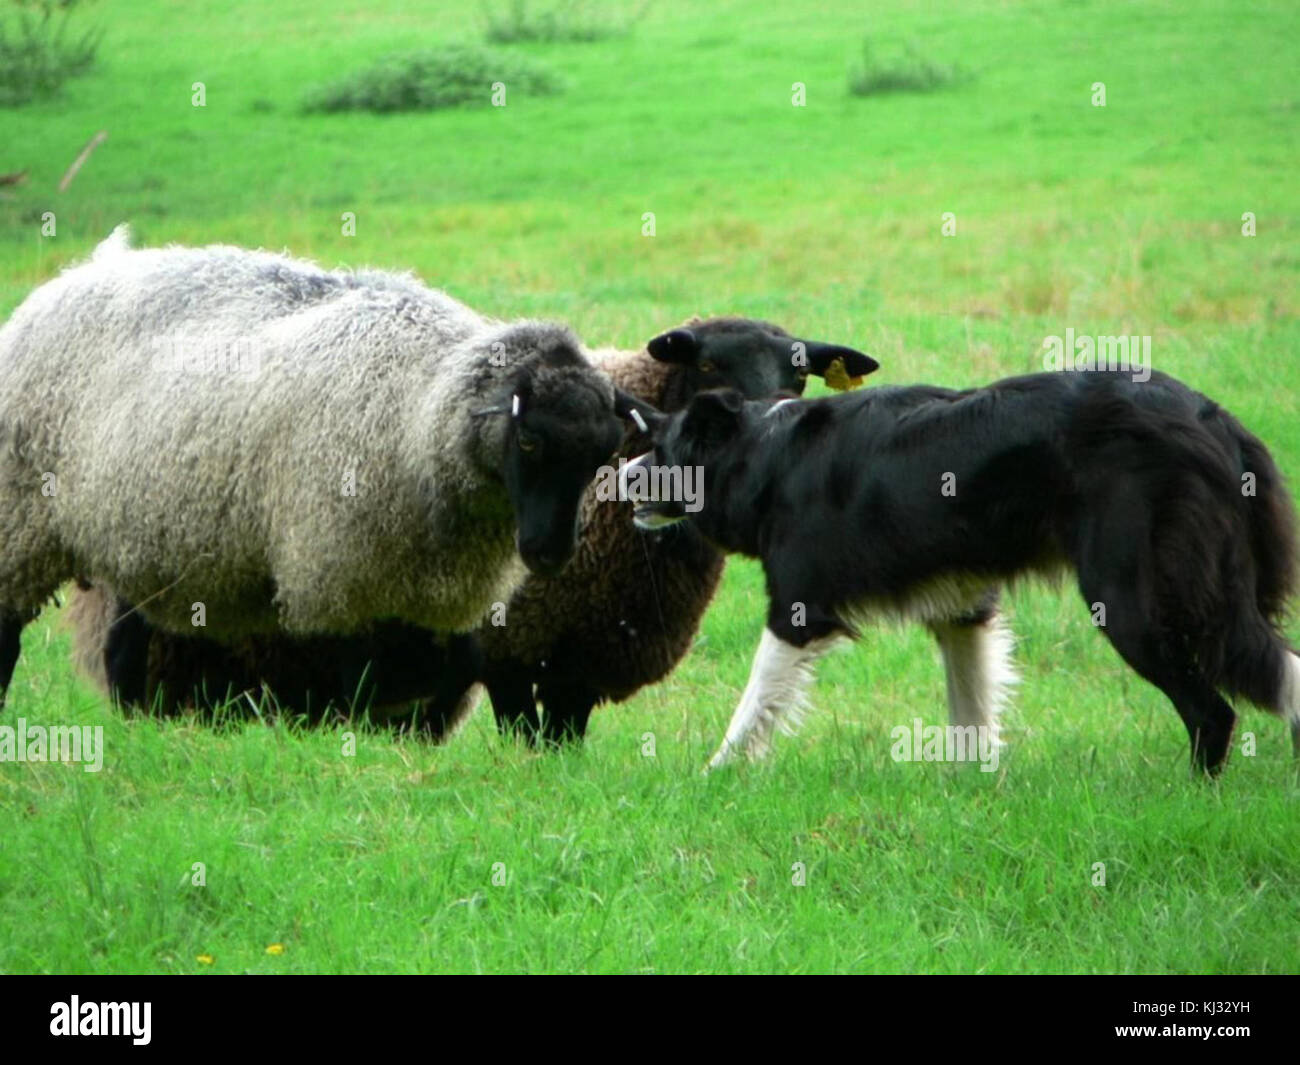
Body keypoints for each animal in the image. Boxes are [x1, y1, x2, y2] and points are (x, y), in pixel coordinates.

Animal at [0, 226, 638, 705]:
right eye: (528, 441)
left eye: (603, 455)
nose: (551, 553)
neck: (421, 411)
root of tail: (75, 274)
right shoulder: (338, 576)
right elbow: (358, 682)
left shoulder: (429, 596)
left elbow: (451, 669)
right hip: (21, 517)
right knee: (10, 635)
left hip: (142, 536)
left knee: (123, 647)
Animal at [65, 317, 876, 737]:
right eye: (708, 363)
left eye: (799, 372)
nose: (774, 419)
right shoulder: (511, 650)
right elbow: (526, 737)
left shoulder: (579, 658)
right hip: (174, 652)